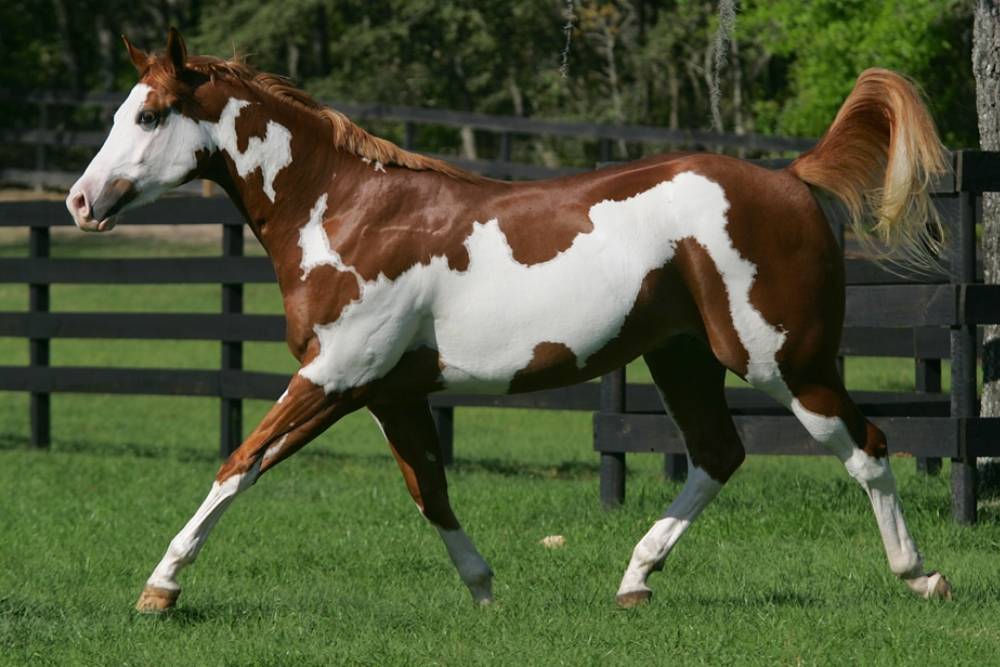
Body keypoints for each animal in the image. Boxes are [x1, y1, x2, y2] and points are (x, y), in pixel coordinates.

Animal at [66, 29, 952, 613]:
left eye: (149, 117)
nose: (79, 202)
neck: (345, 212)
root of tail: (792, 178)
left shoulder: (335, 376)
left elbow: (240, 463)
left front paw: (160, 585)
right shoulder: (390, 390)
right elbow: (430, 489)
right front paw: (486, 589)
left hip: (786, 361)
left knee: (867, 448)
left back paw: (921, 574)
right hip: (684, 358)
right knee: (717, 453)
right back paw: (635, 579)